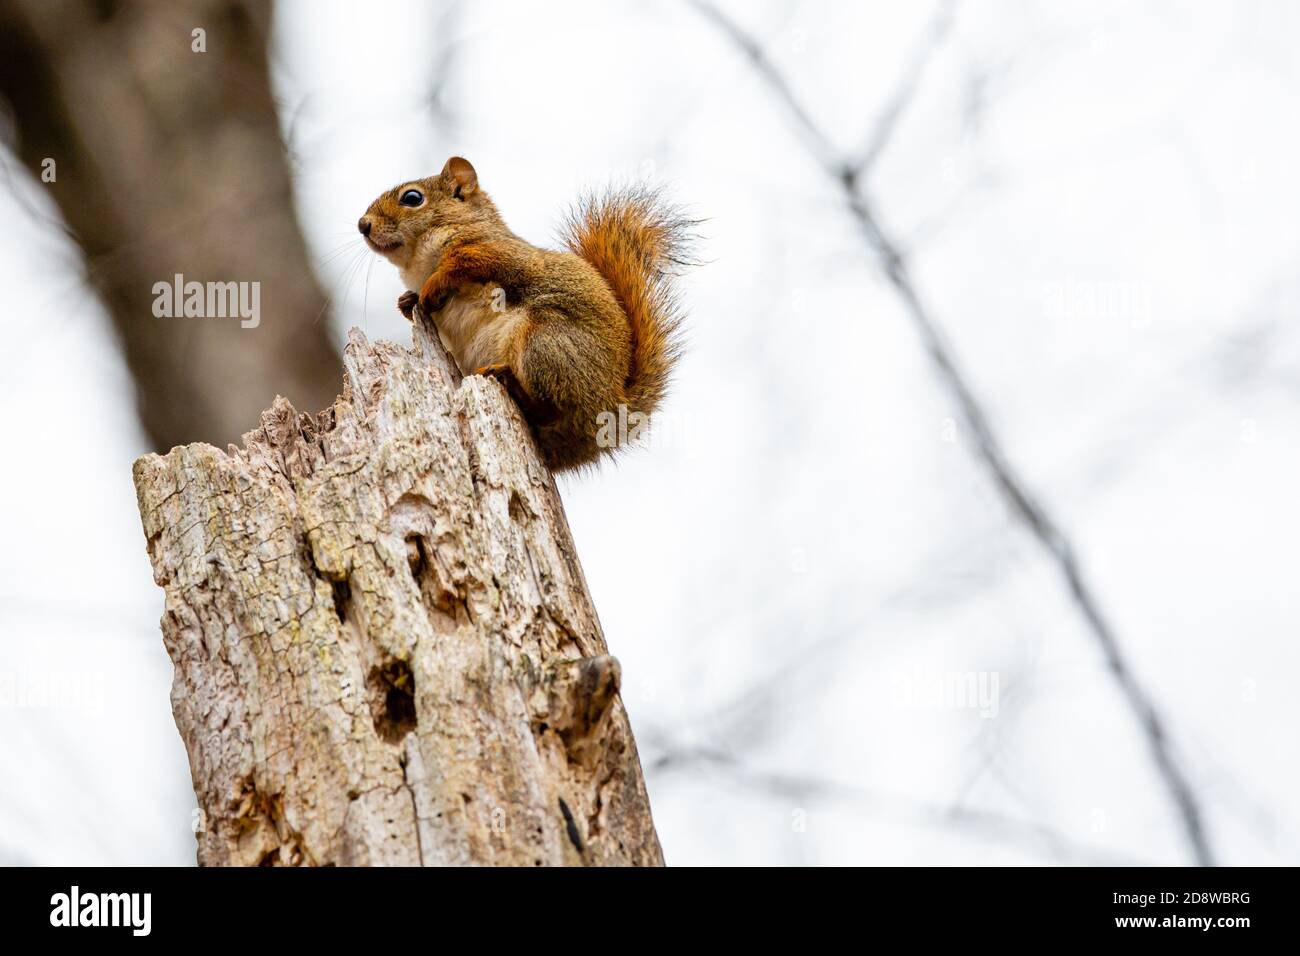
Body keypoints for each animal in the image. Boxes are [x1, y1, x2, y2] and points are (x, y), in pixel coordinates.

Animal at [358, 156, 691, 471]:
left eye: (412, 198)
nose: (363, 225)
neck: (417, 263)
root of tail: (611, 405)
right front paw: (407, 301)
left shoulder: (501, 254)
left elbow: (463, 264)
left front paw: (431, 287)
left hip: (544, 342)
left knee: (550, 407)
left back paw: (509, 380)